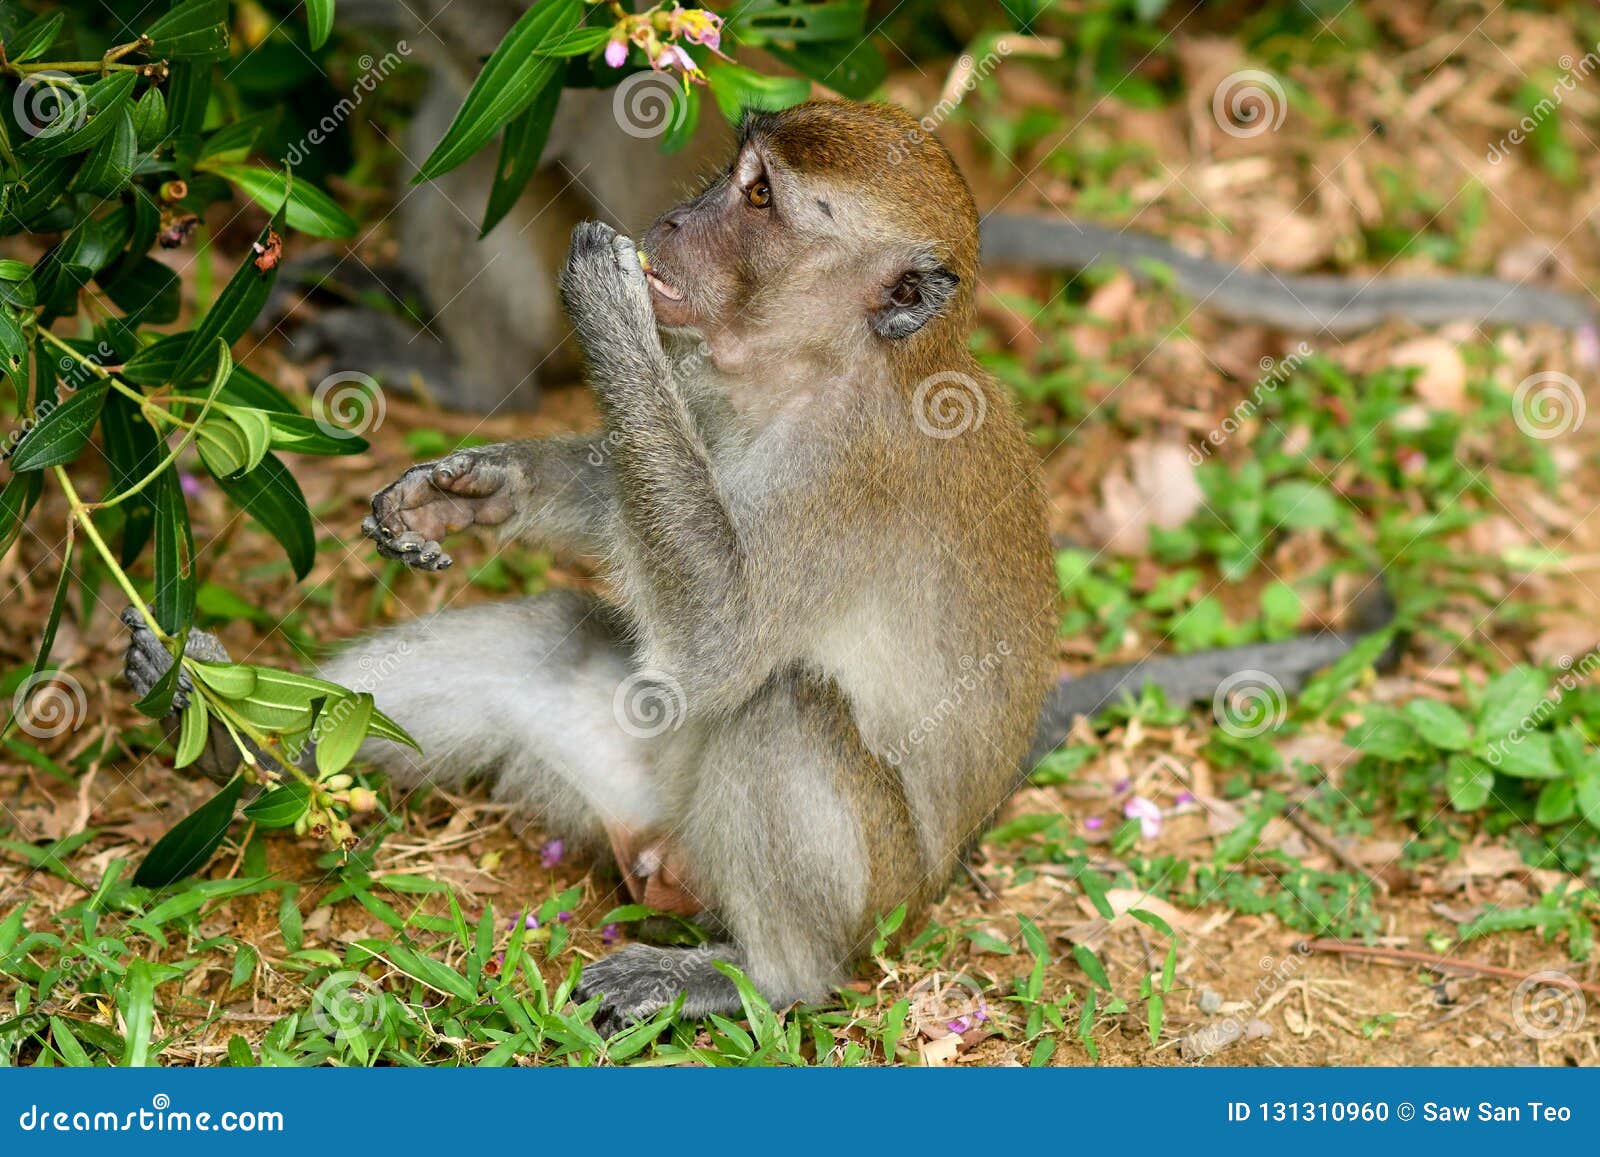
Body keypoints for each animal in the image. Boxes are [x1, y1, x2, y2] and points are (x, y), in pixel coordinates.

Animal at [125, 99, 1396, 1028]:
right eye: (735, 172)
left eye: (759, 200)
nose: (677, 218)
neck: (818, 369)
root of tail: (663, 855)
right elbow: (628, 510)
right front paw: (485, 485)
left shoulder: (847, 475)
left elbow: (723, 643)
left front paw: (608, 308)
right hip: (617, 781)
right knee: (557, 637)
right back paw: (230, 718)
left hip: (874, 891)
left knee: (783, 706)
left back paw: (764, 977)